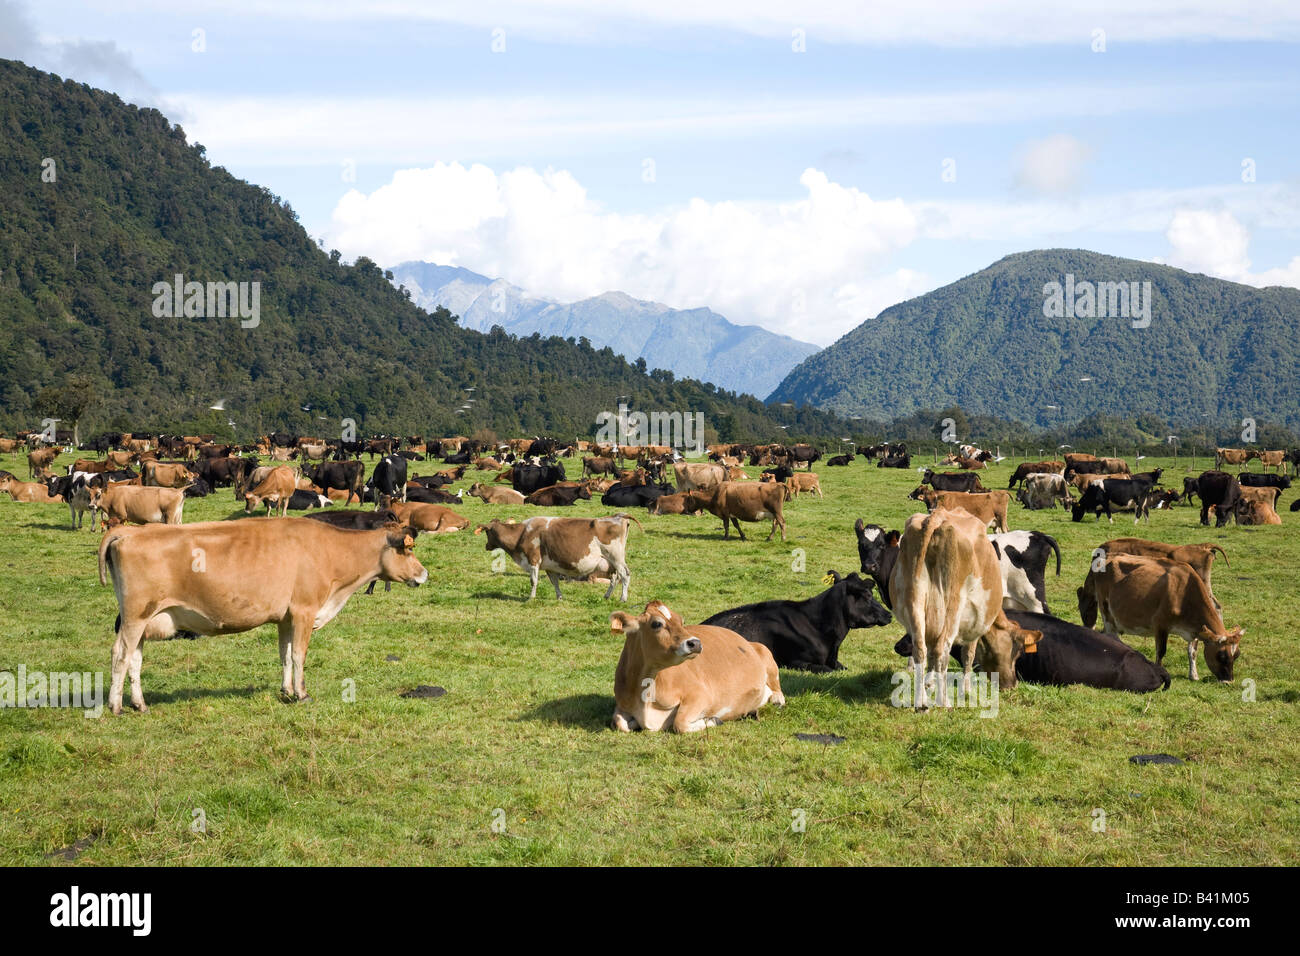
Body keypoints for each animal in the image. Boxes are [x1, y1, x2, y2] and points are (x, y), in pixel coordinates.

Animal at [98, 518, 426, 712]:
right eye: (407, 551)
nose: (424, 574)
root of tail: (130, 530)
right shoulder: (305, 610)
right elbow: (299, 655)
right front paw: (302, 694)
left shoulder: (286, 617)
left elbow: (285, 655)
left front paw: (286, 690)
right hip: (135, 616)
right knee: (120, 655)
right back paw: (115, 705)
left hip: (143, 620)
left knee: (135, 658)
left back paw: (139, 703)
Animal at [474, 514, 639, 601]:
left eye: (487, 532)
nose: (486, 546)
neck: (522, 533)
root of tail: (618, 516)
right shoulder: (550, 566)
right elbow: (554, 582)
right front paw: (559, 597)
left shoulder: (533, 560)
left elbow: (533, 581)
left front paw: (531, 598)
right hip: (609, 562)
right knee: (615, 578)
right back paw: (606, 596)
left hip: (616, 558)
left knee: (625, 575)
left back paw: (623, 598)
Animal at [609, 600, 784, 733]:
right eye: (657, 623)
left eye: (681, 621)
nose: (695, 643)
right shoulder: (622, 703)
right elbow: (619, 723)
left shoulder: (701, 694)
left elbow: (680, 723)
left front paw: (713, 720)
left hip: (765, 652)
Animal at [889, 508, 1043, 709]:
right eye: (1016, 653)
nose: (1012, 685)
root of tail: (937, 517)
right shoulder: (975, 625)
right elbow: (968, 655)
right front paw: (966, 690)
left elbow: (931, 657)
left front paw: (930, 684)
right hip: (953, 608)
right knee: (942, 649)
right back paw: (944, 701)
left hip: (915, 603)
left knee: (920, 650)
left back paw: (921, 702)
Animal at [1077, 555, 1243, 683]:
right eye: (1221, 655)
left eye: (1237, 655)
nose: (1229, 681)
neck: (1185, 592)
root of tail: (1108, 558)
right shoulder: (1160, 624)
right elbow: (1161, 651)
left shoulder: (1196, 629)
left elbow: (1192, 651)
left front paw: (1193, 675)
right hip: (1106, 610)